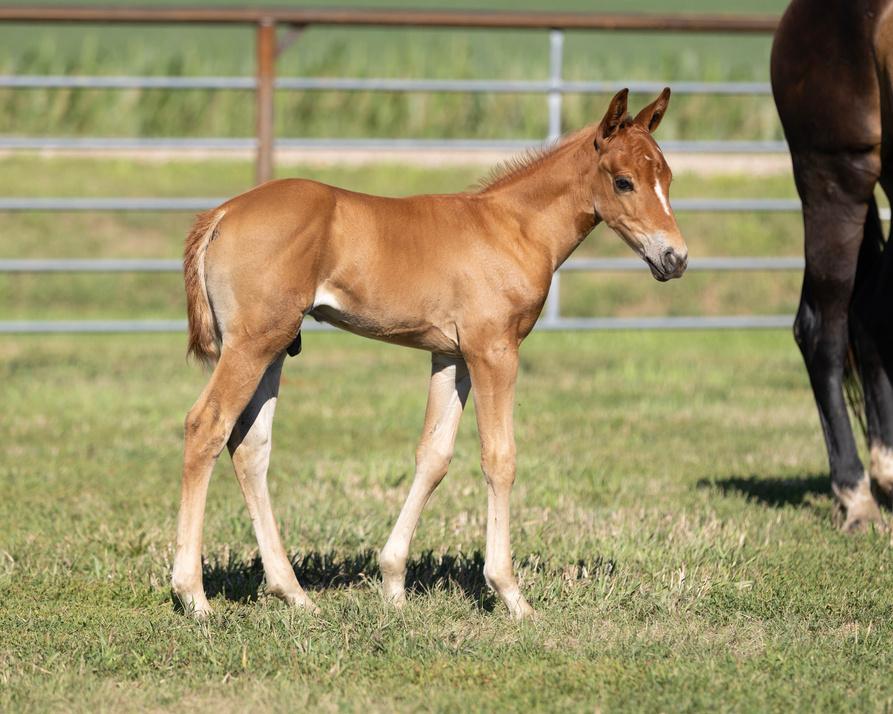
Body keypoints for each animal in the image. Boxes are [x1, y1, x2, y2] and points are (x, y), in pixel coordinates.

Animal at [170, 88, 687, 620]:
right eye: (623, 181)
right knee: (207, 426)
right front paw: (510, 593)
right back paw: (193, 595)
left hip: (273, 346)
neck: (513, 229)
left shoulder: (451, 357)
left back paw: (293, 592)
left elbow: (433, 456)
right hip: (252, 344)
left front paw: (394, 584)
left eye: (667, 177)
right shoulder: (494, 351)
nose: (675, 259)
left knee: (250, 446)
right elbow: (499, 457)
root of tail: (221, 215)